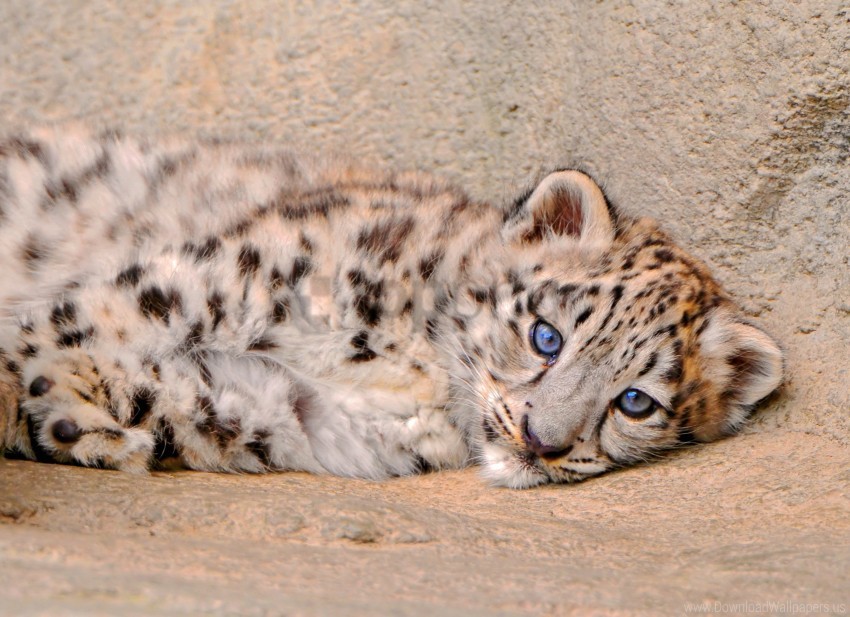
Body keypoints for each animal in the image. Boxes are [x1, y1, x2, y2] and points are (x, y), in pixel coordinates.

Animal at [0, 126, 783, 488]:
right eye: (546, 336)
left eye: (635, 402)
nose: (542, 441)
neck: (412, 366)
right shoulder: (227, 275)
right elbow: (85, 319)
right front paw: (50, 407)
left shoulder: (279, 407)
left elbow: (160, 391)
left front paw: (80, 428)